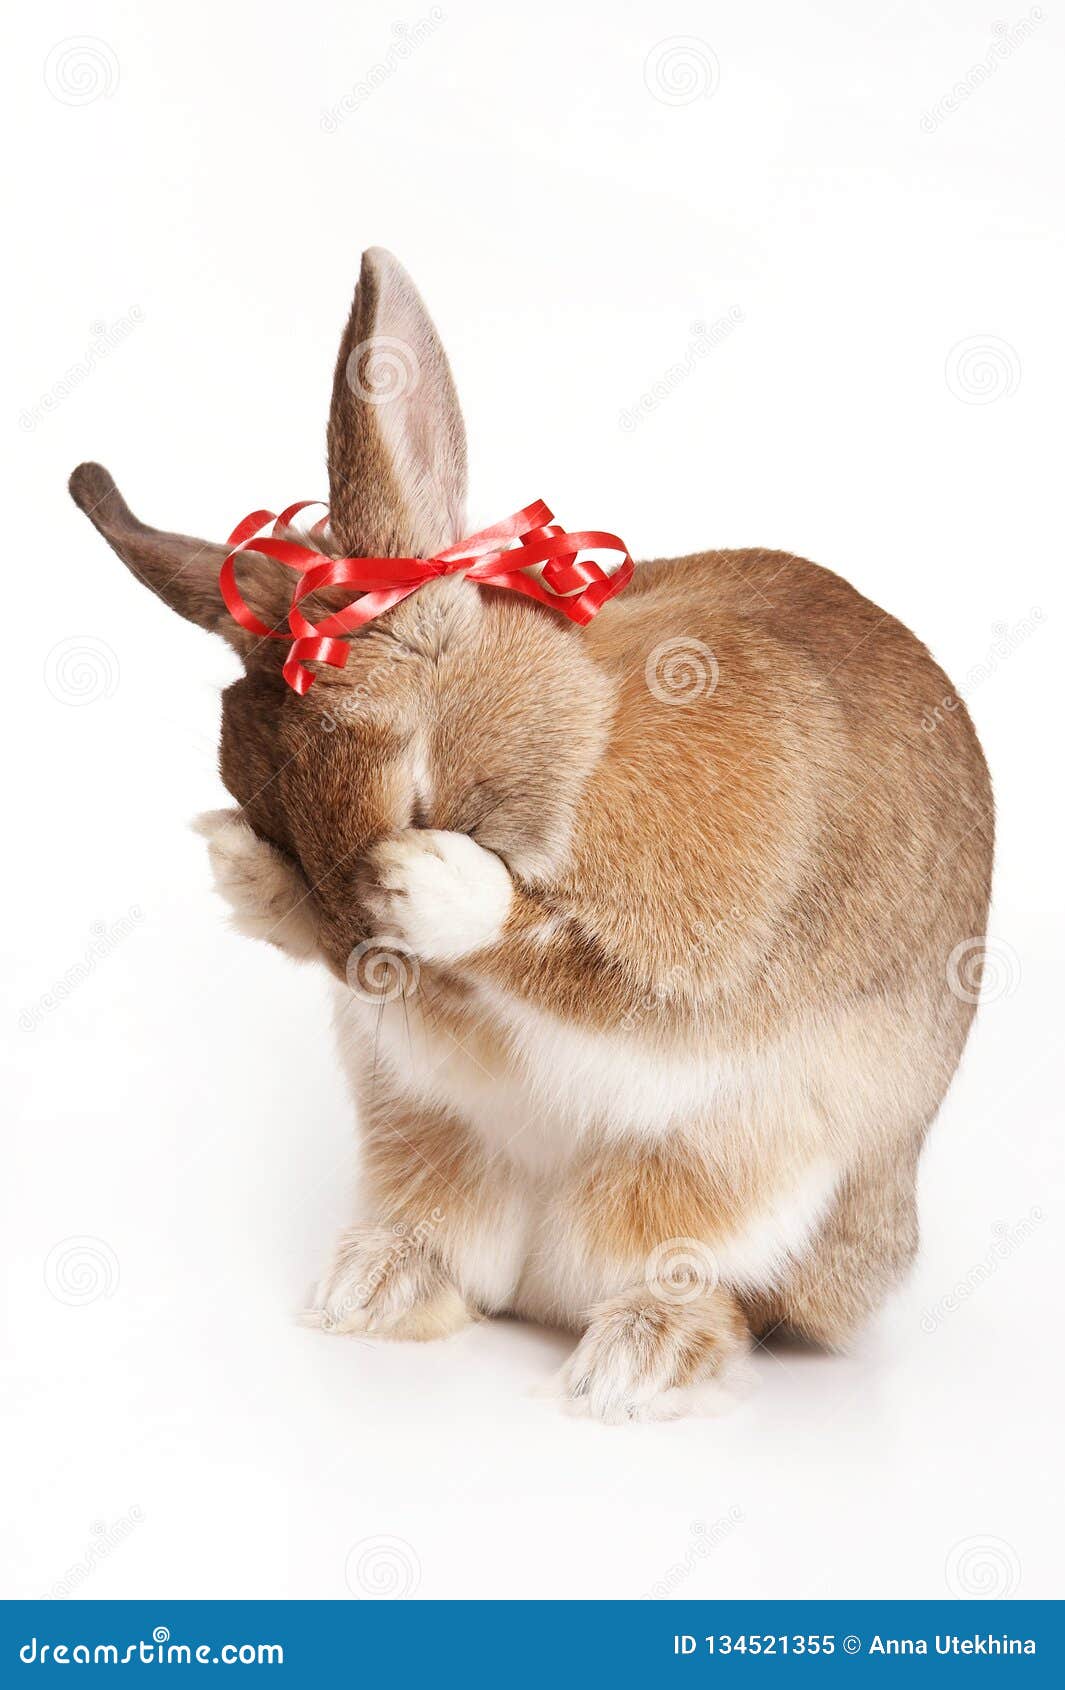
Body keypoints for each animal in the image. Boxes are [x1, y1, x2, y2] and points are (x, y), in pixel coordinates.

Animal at [69, 247, 993, 1422]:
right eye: (268, 812)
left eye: (420, 796)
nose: (362, 961)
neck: (580, 740)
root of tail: (550, 1286)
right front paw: (237, 870)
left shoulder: (686, 958)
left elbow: (574, 965)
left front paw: (426, 882)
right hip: (430, 1146)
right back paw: (368, 1291)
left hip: (747, 1186)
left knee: (727, 1294)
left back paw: (628, 1368)